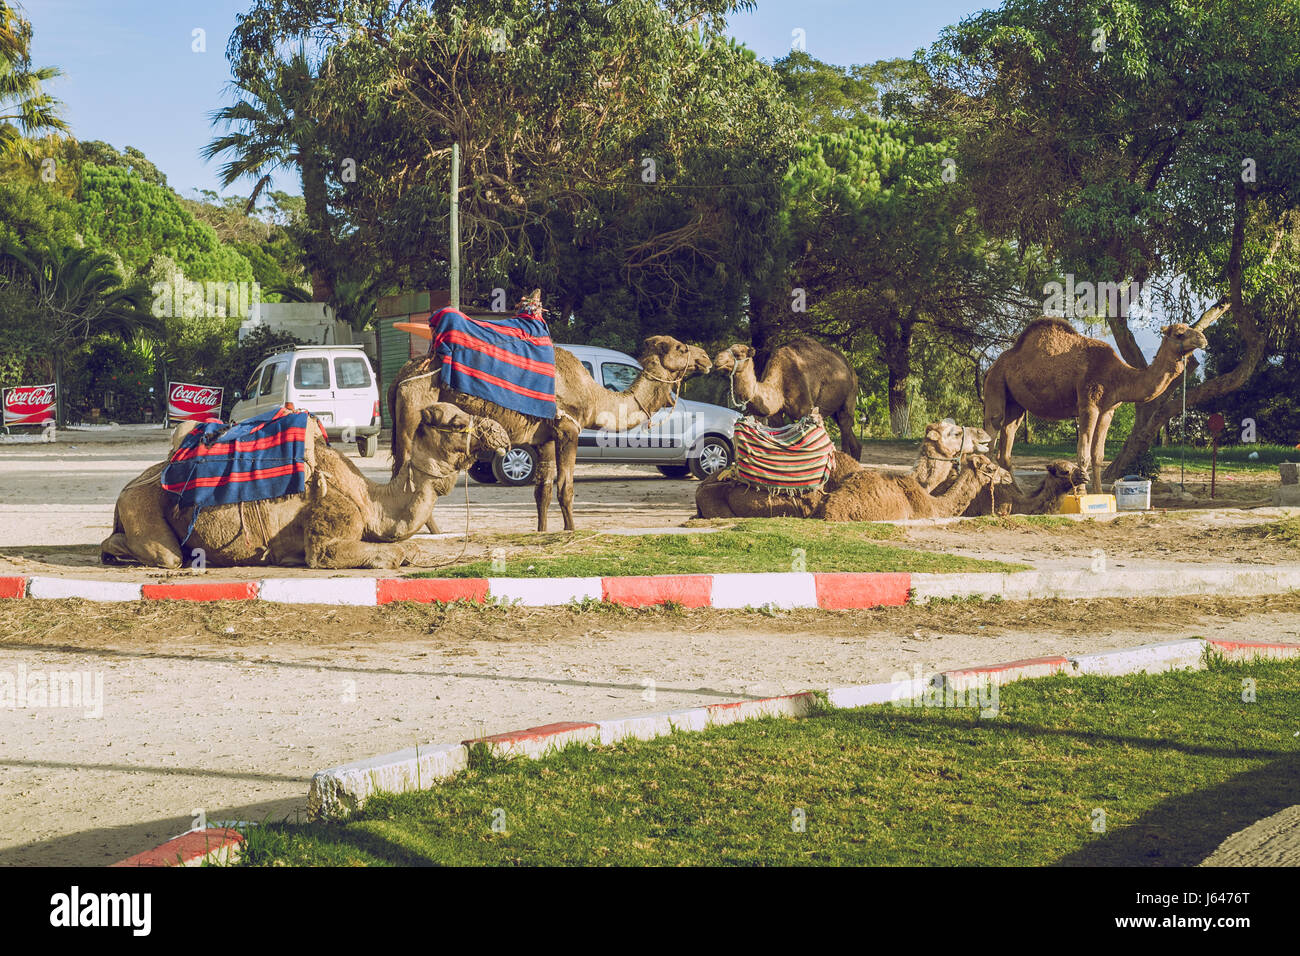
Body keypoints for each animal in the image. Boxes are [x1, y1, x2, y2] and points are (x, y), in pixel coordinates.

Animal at [101, 403, 510, 569]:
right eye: (456, 423)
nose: (501, 433)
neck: (370, 501)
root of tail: (124, 491)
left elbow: (409, 549)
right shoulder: (331, 524)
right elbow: (383, 553)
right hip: (142, 505)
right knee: (166, 556)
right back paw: (115, 553)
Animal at [389, 332, 711, 532]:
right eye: (682, 348)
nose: (706, 357)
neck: (593, 397)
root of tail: (400, 377)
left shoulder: (542, 439)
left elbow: (541, 491)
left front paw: (542, 531)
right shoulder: (568, 429)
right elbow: (565, 488)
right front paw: (570, 530)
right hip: (412, 418)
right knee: (406, 477)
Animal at [713, 338, 862, 459]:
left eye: (739, 353)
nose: (717, 359)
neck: (780, 384)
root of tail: (849, 366)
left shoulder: (806, 409)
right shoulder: (775, 416)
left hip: (850, 394)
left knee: (845, 424)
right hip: (834, 409)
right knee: (851, 436)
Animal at [983, 318, 1207, 492]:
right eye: (1179, 333)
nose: (1203, 338)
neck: (1117, 375)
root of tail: (992, 366)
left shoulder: (1108, 409)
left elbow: (1097, 455)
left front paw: (1099, 493)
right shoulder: (1088, 404)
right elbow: (1083, 454)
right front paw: (1081, 495)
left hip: (1016, 404)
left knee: (1006, 445)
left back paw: (1017, 493)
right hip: (996, 384)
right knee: (991, 433)